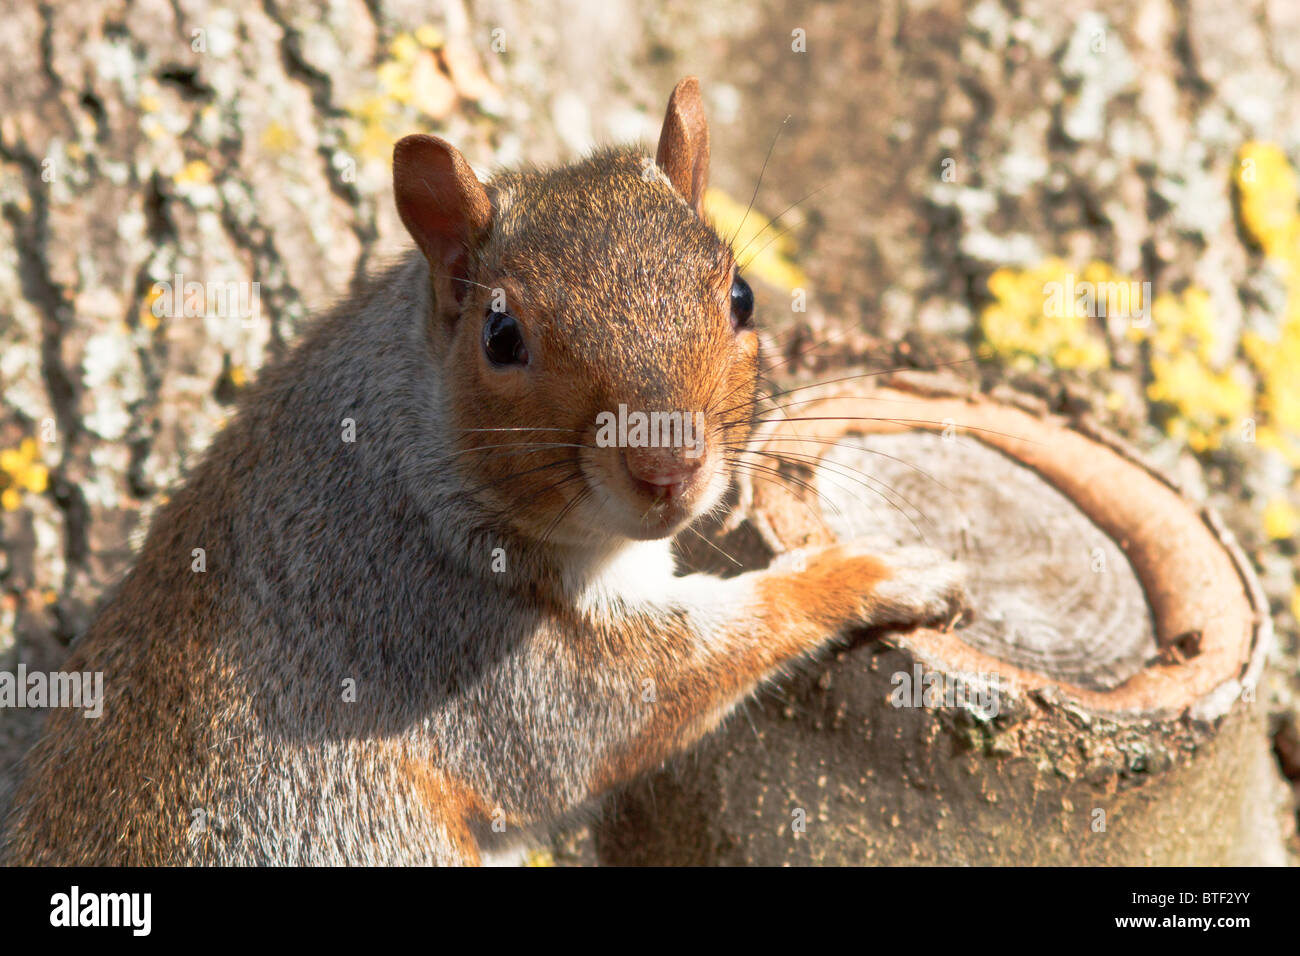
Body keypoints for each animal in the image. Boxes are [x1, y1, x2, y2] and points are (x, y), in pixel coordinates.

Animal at [0, 77, 968, 865]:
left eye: (741, 297)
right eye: (501, 338)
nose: (669, 467)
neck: (409, 440)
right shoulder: (448, 626)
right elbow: (643, 697)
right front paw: (872, 572)